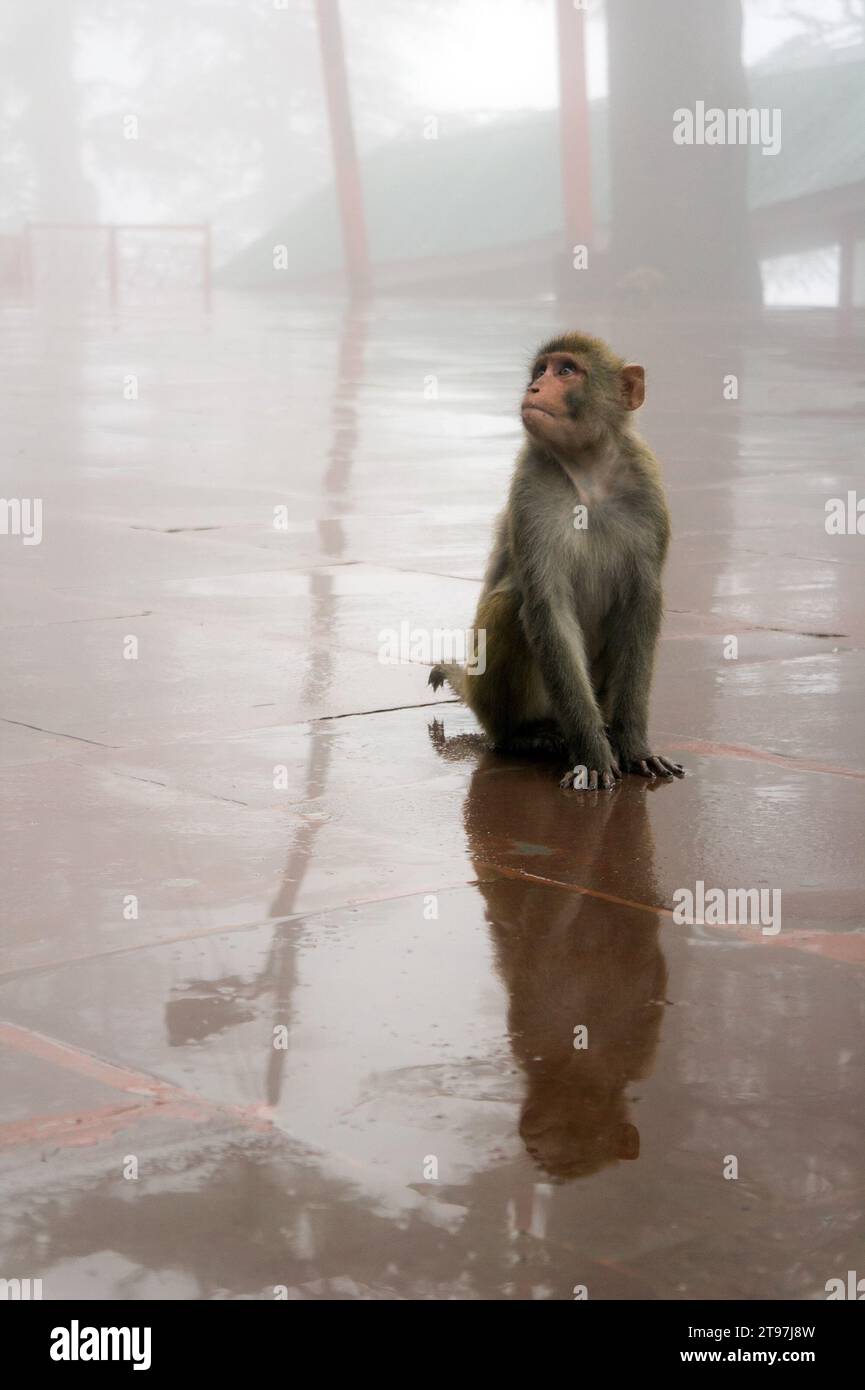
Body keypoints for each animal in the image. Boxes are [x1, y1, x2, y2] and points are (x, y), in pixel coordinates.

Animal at [429, 331, 684, 791]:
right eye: (540, 371)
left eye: (566, 370)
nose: (534, 388)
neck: (588, 474)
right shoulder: (530, 488)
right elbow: (547, 608)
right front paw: (593, 755)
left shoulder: (648, 489)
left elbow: (641, 603)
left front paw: (634, 745)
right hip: (489, 698)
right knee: (510, 605)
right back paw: (525, 735)